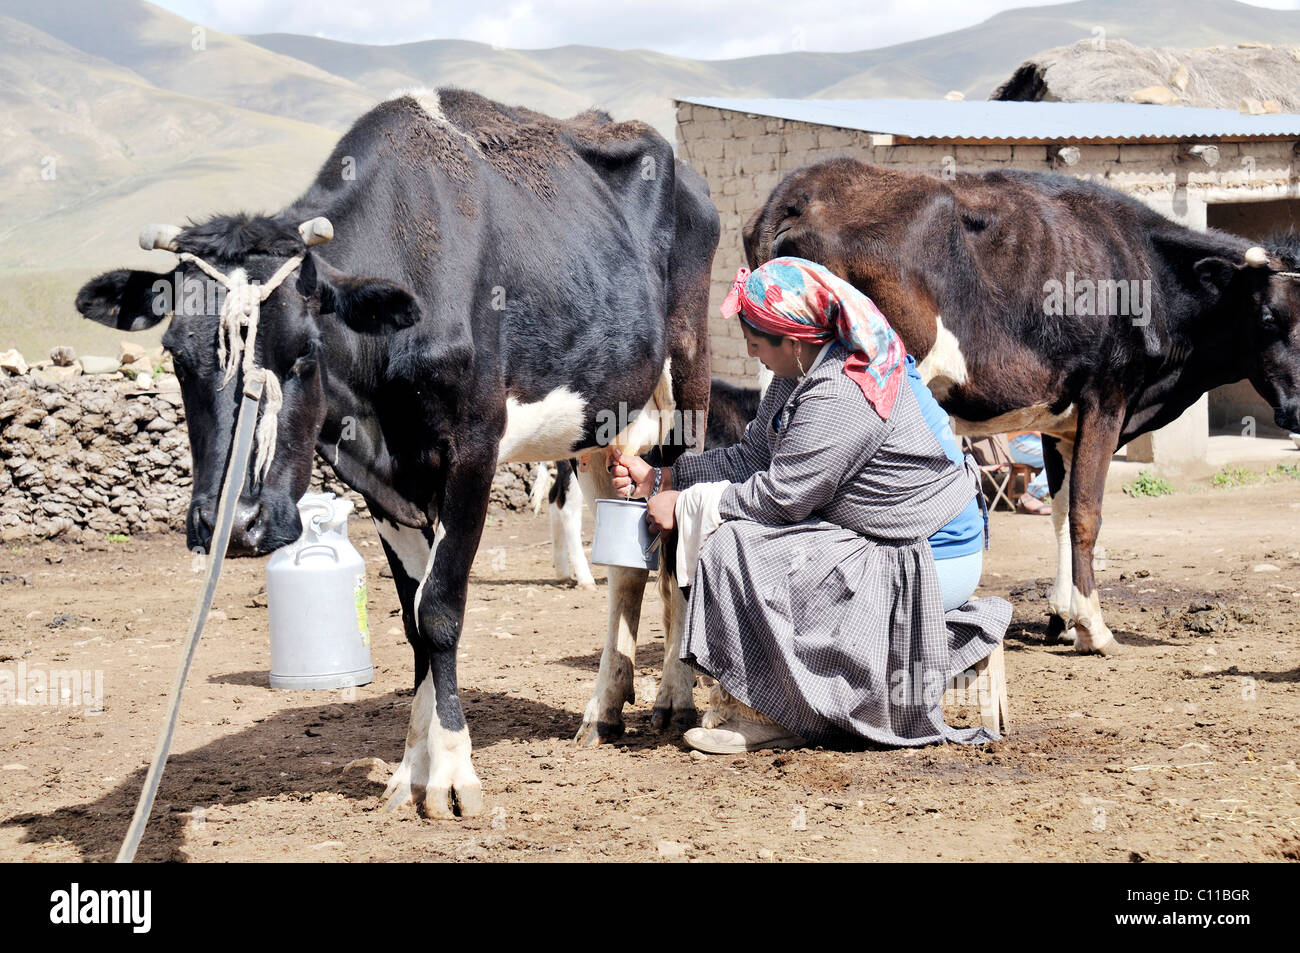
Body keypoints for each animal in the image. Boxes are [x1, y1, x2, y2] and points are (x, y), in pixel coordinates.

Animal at [74, 88, 719, 818]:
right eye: (177, 356)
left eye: (305, 353)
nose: (234, 526)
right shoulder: (383, 483)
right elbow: (411, 620)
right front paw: (413, 768)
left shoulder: (472, 452)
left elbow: (439, 611)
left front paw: (452, 776)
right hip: (602, 420)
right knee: (627, 568)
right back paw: (605, 708)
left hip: (686, 389)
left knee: (674, 540)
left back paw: (674, 697)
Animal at [743, 157, 1300, 655]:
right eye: (1269, 319)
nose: (1296, 412)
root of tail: (807, 185)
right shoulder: (1106, 400)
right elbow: (1086, 515)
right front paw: (1093, 629)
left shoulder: (1060, 423)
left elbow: (1059, 514)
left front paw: (1061, 619)